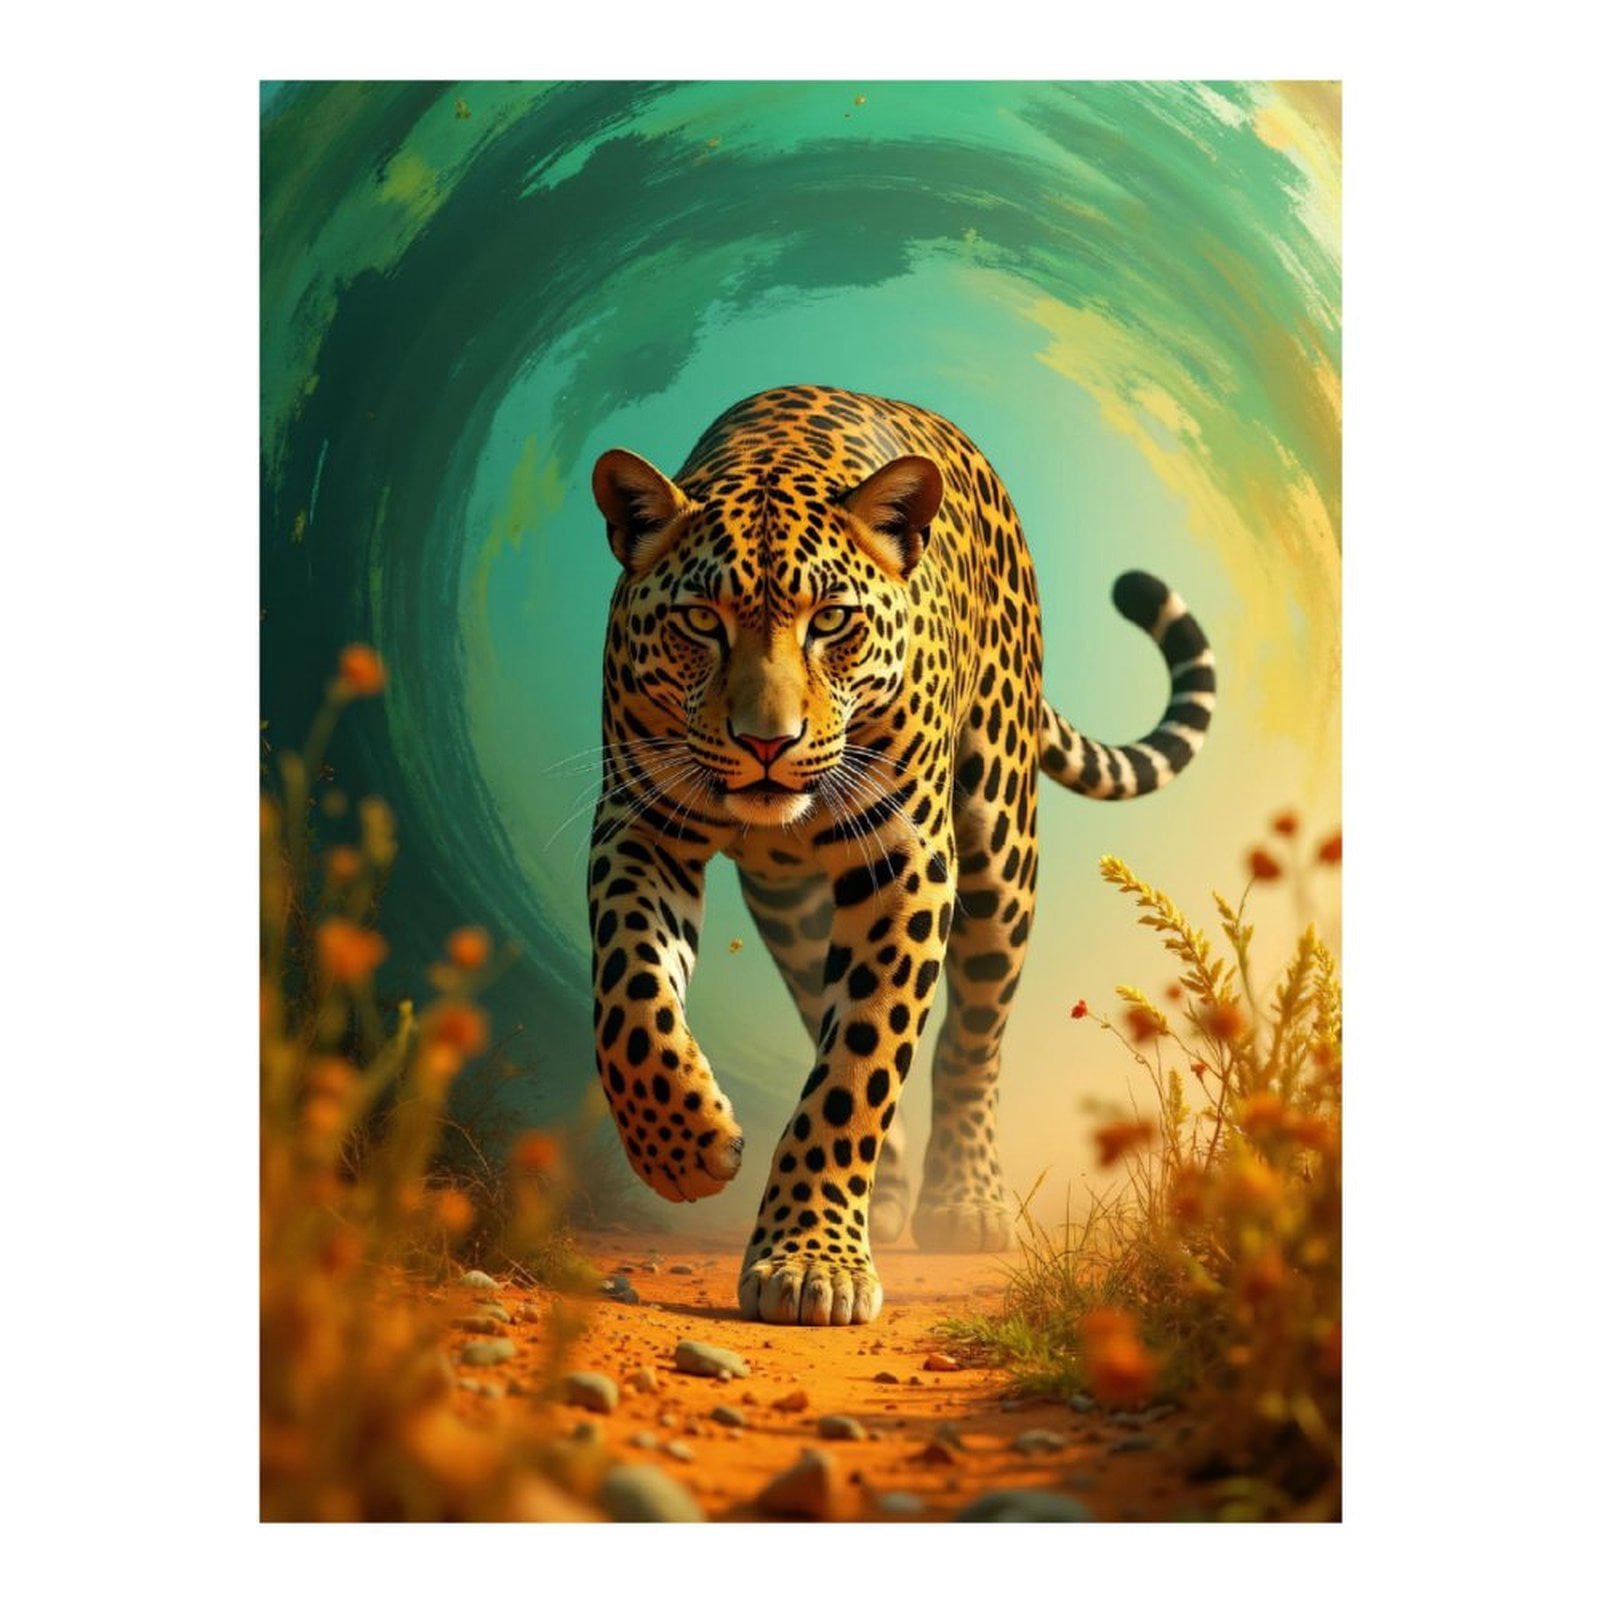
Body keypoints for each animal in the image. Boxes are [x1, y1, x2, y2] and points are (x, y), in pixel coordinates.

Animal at [584, 385, 1214, 1326]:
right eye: (700, 621)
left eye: (831, 621)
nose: (767, 743)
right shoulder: (640, 826)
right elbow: (632, 999)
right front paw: (684, 1148)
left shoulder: (906, 864)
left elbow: (861, 1064)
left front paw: (811, 1262)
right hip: (789, 910)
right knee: (820, 997)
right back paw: (881, 1194)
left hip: (1000, 845)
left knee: (972, 1034)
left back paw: (965, 1200)